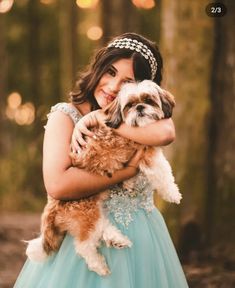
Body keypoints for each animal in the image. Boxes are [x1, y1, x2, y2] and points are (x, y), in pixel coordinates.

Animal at [24, 79, 181, 276]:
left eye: (148, 100)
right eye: (130, 105)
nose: (139, 107)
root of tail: (51, 205)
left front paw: (130, 183)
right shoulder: (147, 152)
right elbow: (163, 171)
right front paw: (172, 193)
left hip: (94, 209)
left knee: (102, 227)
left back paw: (116, 239)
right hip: (87, 212)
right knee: (84, 244)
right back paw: (99, 264)